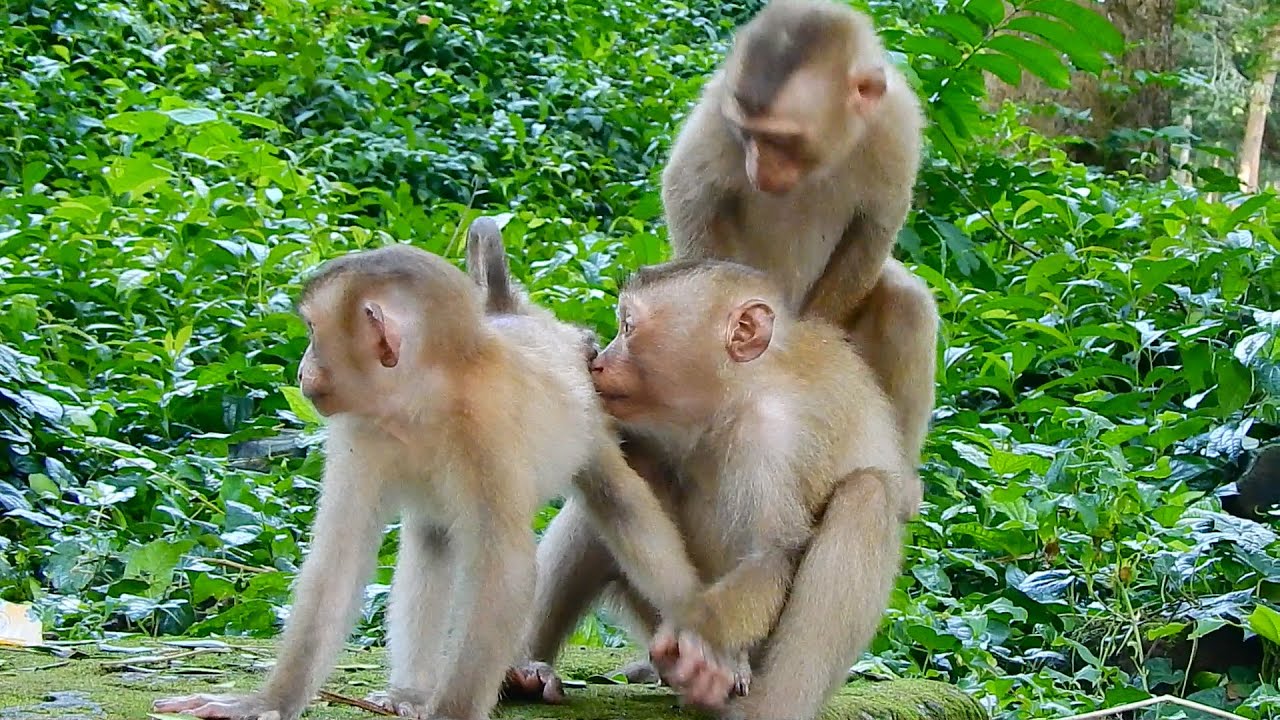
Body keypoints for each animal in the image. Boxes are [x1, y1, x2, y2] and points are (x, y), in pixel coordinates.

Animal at [153, 220, 731, 720]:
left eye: (314, 331)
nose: (302, 370)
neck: (419, 406)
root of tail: (513, 312)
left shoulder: (486, 433)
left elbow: (503, 572)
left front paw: (451, 711)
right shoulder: (361, 430)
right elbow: (338, 561)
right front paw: (266, 702)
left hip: (592, 421)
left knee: (621, 507)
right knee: (431, 538)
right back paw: (410, 691)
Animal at [508, 259, 915, 719]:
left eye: (627, 327)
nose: (597, 361)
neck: (728, 403)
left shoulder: (773, 436)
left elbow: (774, 553)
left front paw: (703, 640)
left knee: (867, 495)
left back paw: (766, 706)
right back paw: (527, 670)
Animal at [661, 0, 937, 501]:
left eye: (783, 140)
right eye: (749, 136)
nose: (758, 166)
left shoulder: (896, 123)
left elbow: (877, 225)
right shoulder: (718, 115)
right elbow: (690, 194)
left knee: (906, 301)